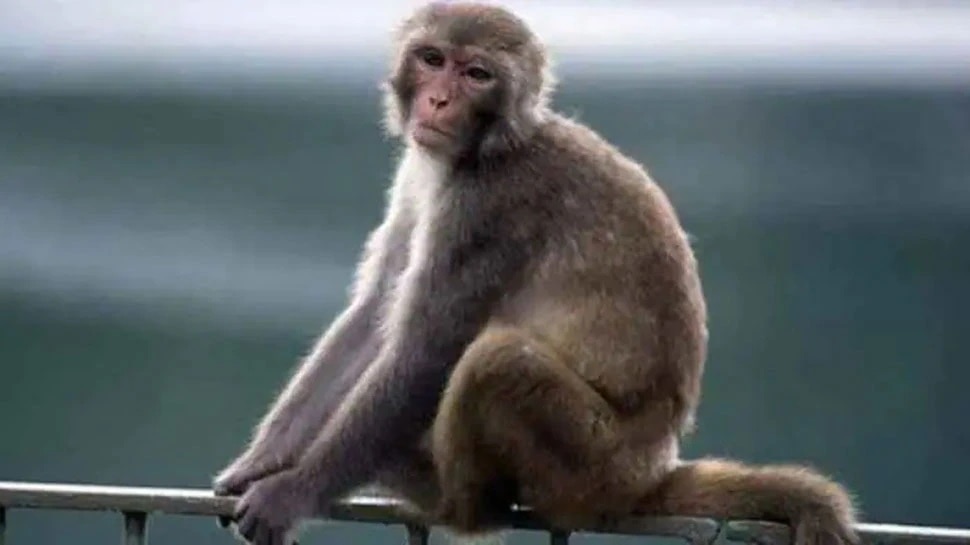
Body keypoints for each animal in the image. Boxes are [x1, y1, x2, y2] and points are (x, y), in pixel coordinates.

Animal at [212, 3, 860, 545]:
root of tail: (653, 470)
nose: (438, 102)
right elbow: (375, 313)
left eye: (477, 74)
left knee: (498, 362)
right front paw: (262, 460)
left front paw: (291, 492)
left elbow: (425, 350)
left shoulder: (489, 206)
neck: (486, 148)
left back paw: (450, 501)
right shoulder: (423, 177)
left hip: (593, 462)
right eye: (432, 60)